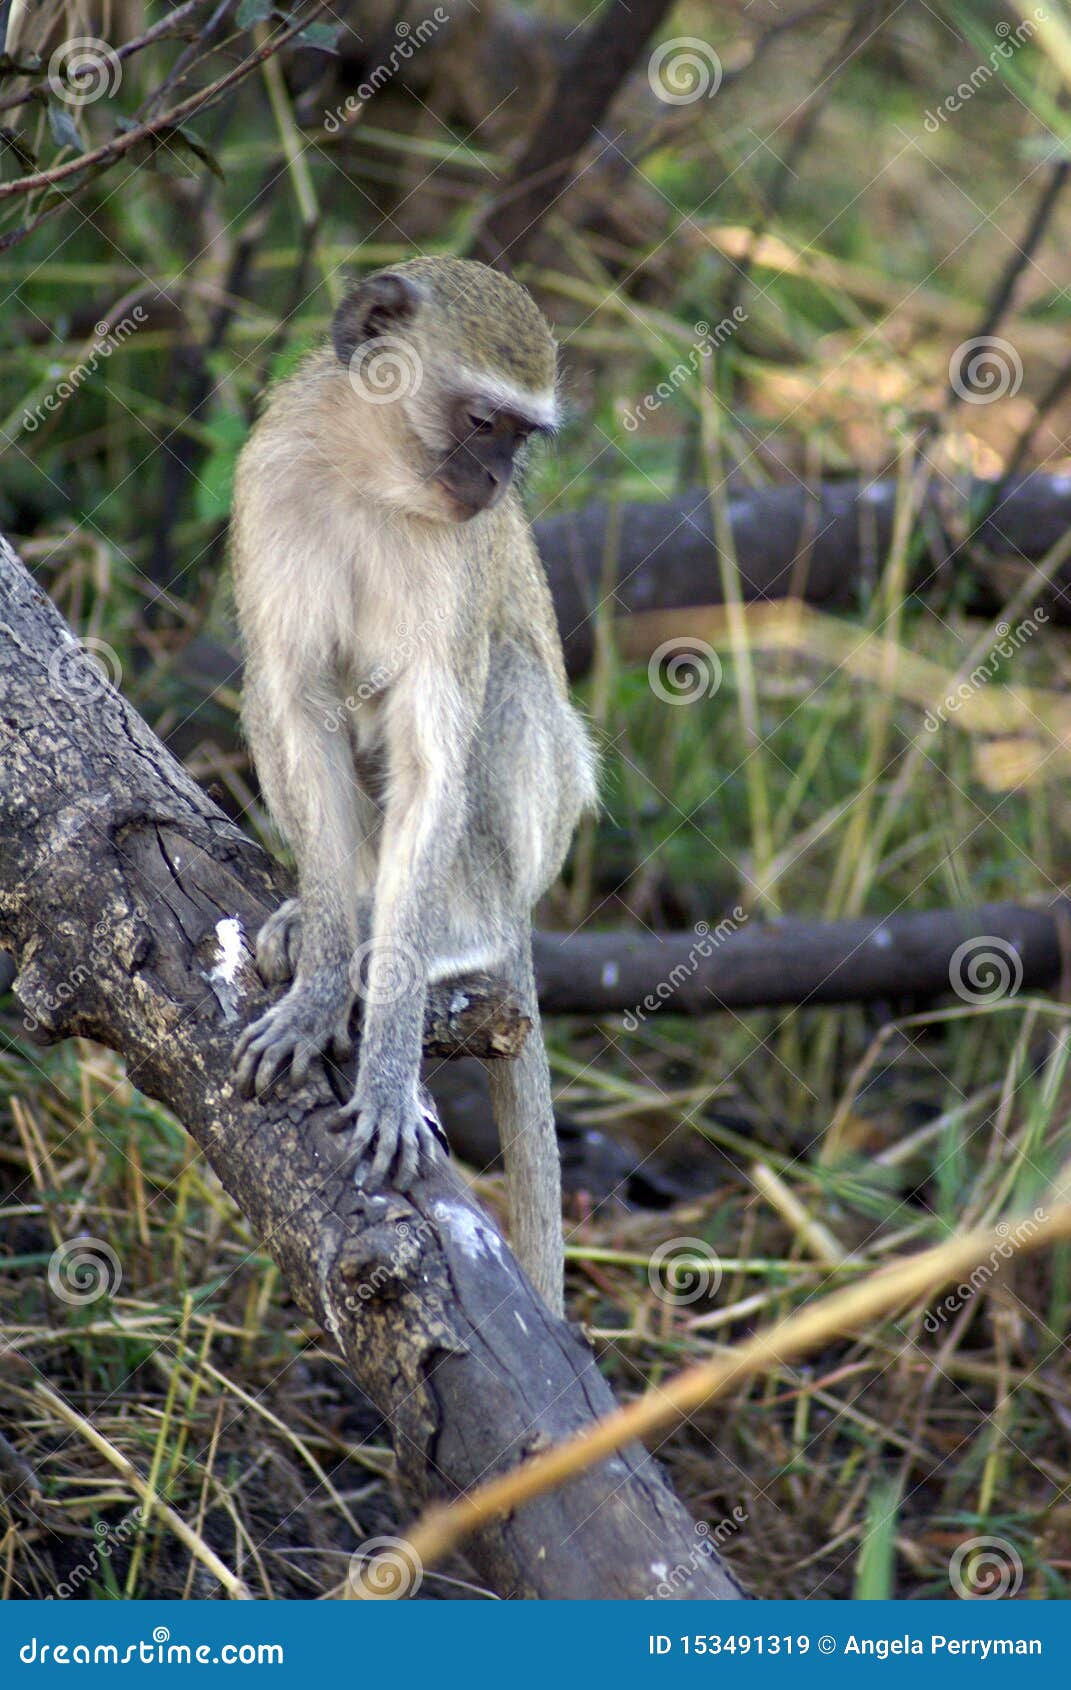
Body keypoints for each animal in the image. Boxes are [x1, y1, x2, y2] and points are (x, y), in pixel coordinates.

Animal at [230, 256, 597, 1315]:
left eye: (520, 436)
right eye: (482, 423)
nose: (494, 484)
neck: (365, 476)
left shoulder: (454, 564)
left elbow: (436, 758)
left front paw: (388, 1066)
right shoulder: (271, 483)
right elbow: (300, 704)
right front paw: (316, 987)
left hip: (537, 837)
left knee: (504, 685)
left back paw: (454, 935)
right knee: (272, 691)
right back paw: (338, 909)